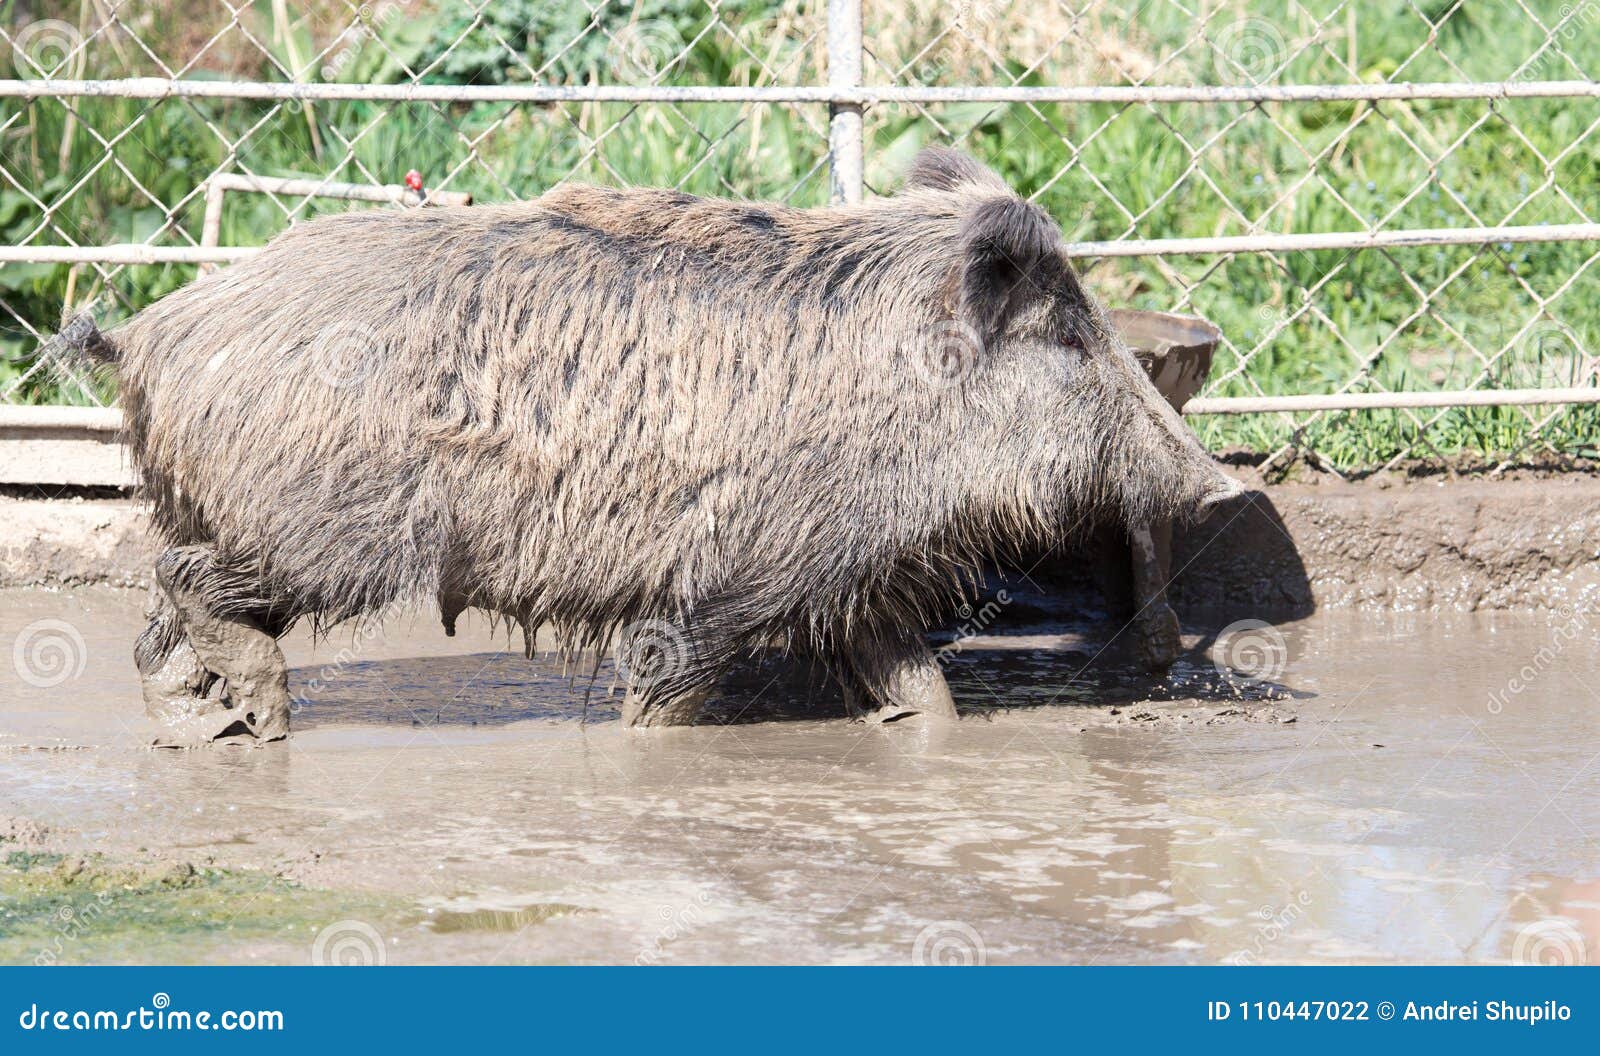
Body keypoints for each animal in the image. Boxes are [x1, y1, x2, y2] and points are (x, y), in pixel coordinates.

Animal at [64, 147, 1241, 742]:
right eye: (1071, 336)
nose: (1218, 487)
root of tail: (161, 330)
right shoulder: (731, 575)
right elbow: (665, 693)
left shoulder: (851, 575)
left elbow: (921, 690)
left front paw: (928, 738)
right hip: (323, 536)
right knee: (190, 582)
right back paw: (264, 719)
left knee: (158, 620)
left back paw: (201, 729)